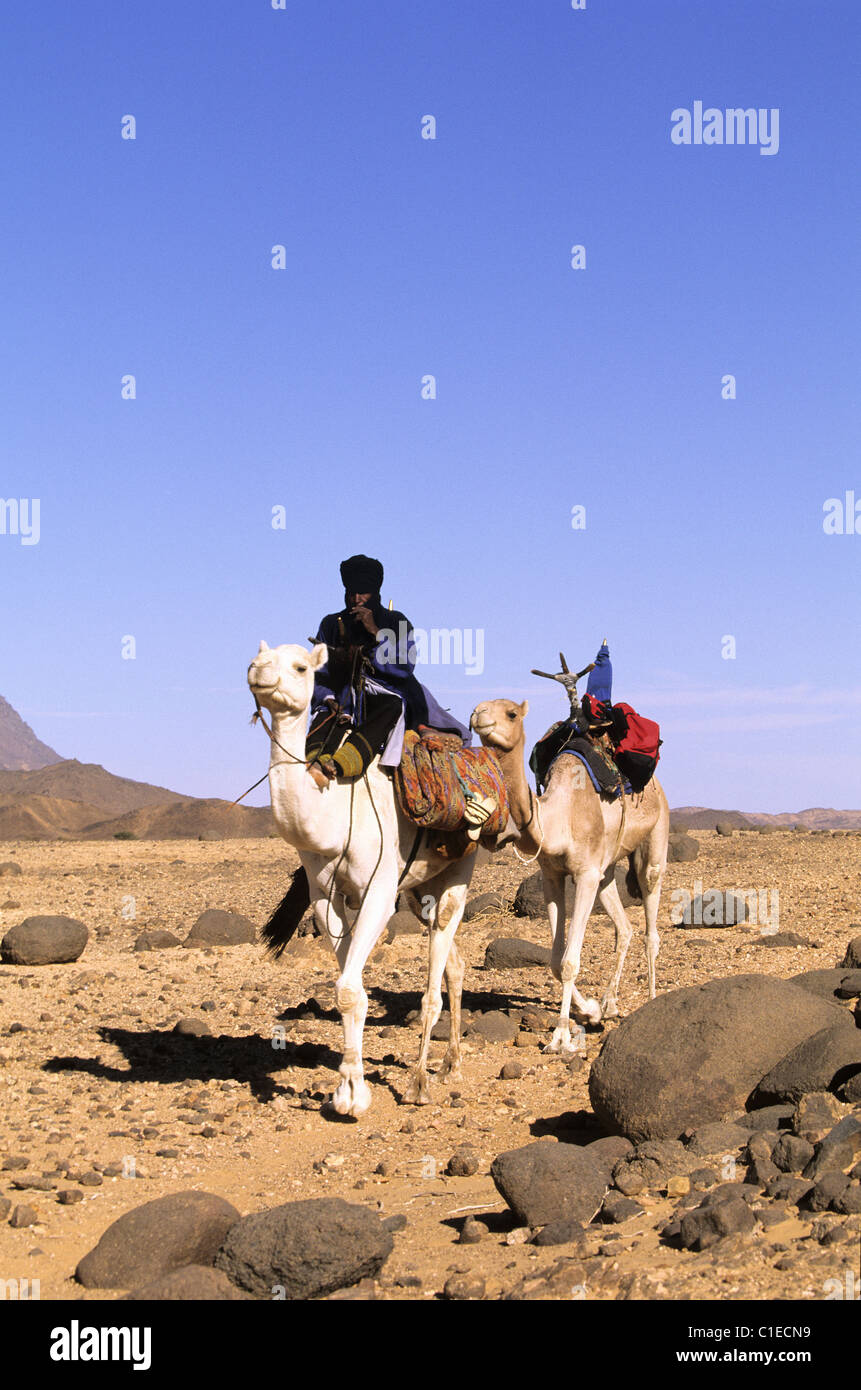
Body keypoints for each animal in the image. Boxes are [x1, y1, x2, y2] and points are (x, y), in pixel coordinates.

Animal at [247, 640, 481, 1117]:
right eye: (261, 654)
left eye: (300, 666)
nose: (257, 670)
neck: (333, 814)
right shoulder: (323, 895)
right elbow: (347, 990)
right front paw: (346, 1091)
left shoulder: (379, 890)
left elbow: (351, 988)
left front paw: (354, 1093)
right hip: (419, 891)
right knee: (455, 966)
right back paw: (450, 1064)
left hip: (458, 871)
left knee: (435, 983)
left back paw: (419, 1081)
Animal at [470, 696, 669, 1053]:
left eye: (511, 713)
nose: (478, 715)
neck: (557, 817)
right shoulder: (552, 875)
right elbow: (554, 960)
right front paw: (590, 1011)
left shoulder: (585, 874)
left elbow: (569, 962)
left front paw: (561, 1036)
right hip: (606, 870)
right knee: (624, 928)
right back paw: (609, 1003)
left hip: (656, 836)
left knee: (651, 921)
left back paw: (650, 999)